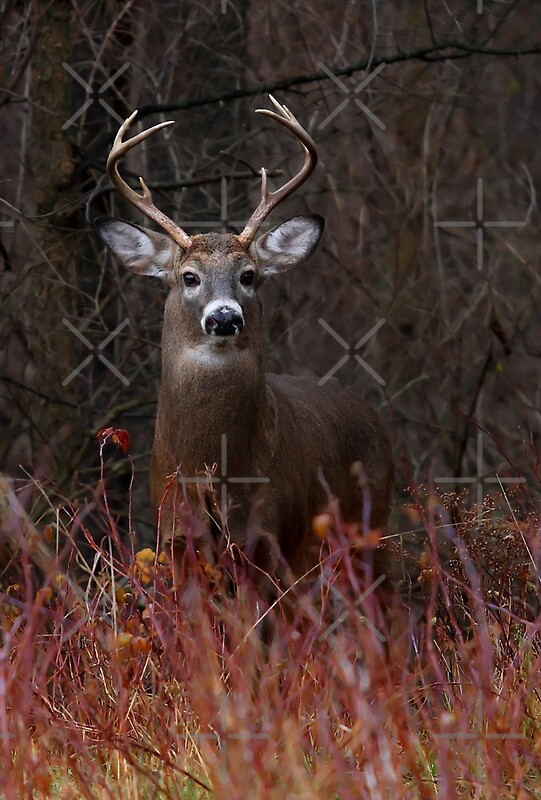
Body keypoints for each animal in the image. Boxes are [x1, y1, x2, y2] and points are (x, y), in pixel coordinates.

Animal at [94, 97, 394, 589]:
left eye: (249, 275)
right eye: (188, 276)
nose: (224, 317)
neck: (214, 466)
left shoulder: (269, 534)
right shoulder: (174, 535)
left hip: (371, 528)